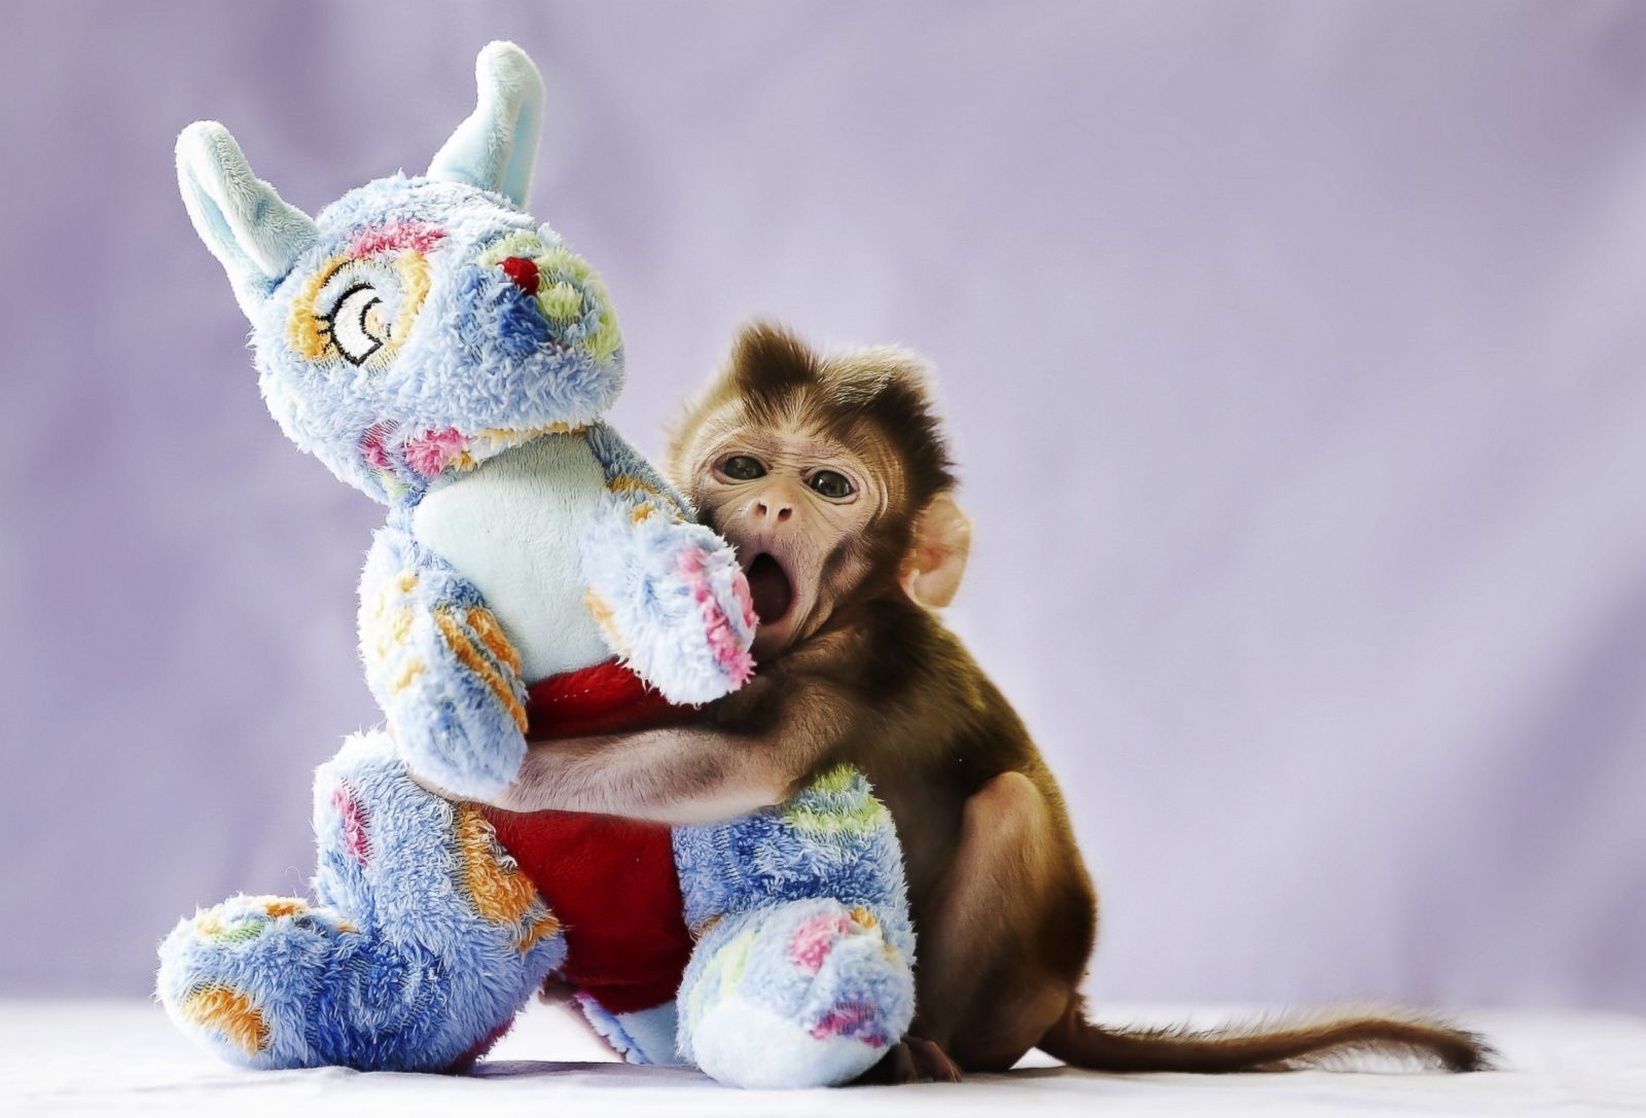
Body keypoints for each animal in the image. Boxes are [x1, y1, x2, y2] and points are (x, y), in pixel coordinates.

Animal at [485, 322, 1491, 1081]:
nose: (771, 508)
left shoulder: (863, 662)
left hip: (1010, 1001)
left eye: (828, 485)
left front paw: (496, 771)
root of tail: (1067, 1006)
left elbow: (744, 765)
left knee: (1009, 809)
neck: (836, 618)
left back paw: (912, 1051)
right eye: (743, 468)